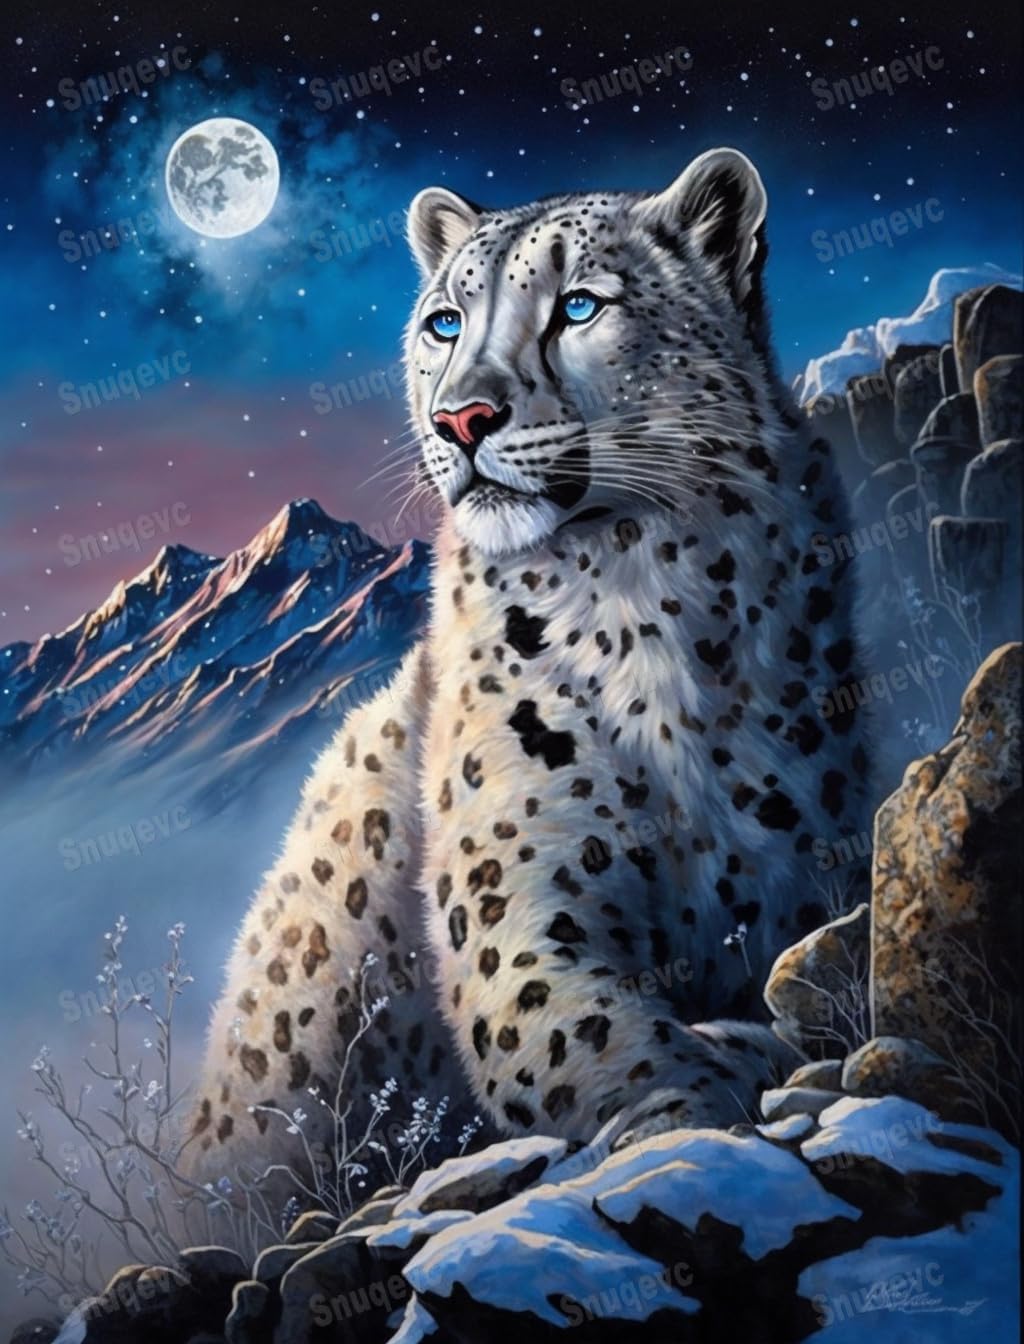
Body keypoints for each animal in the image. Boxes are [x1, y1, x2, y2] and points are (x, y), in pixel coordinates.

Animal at [186, 148, 871, 1191]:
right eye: (445, 321)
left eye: (579, 306)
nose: (462, 417)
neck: (642, 596)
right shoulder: (515, 905)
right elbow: (589, 1037)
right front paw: (694, 1119)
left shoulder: (803, 875)